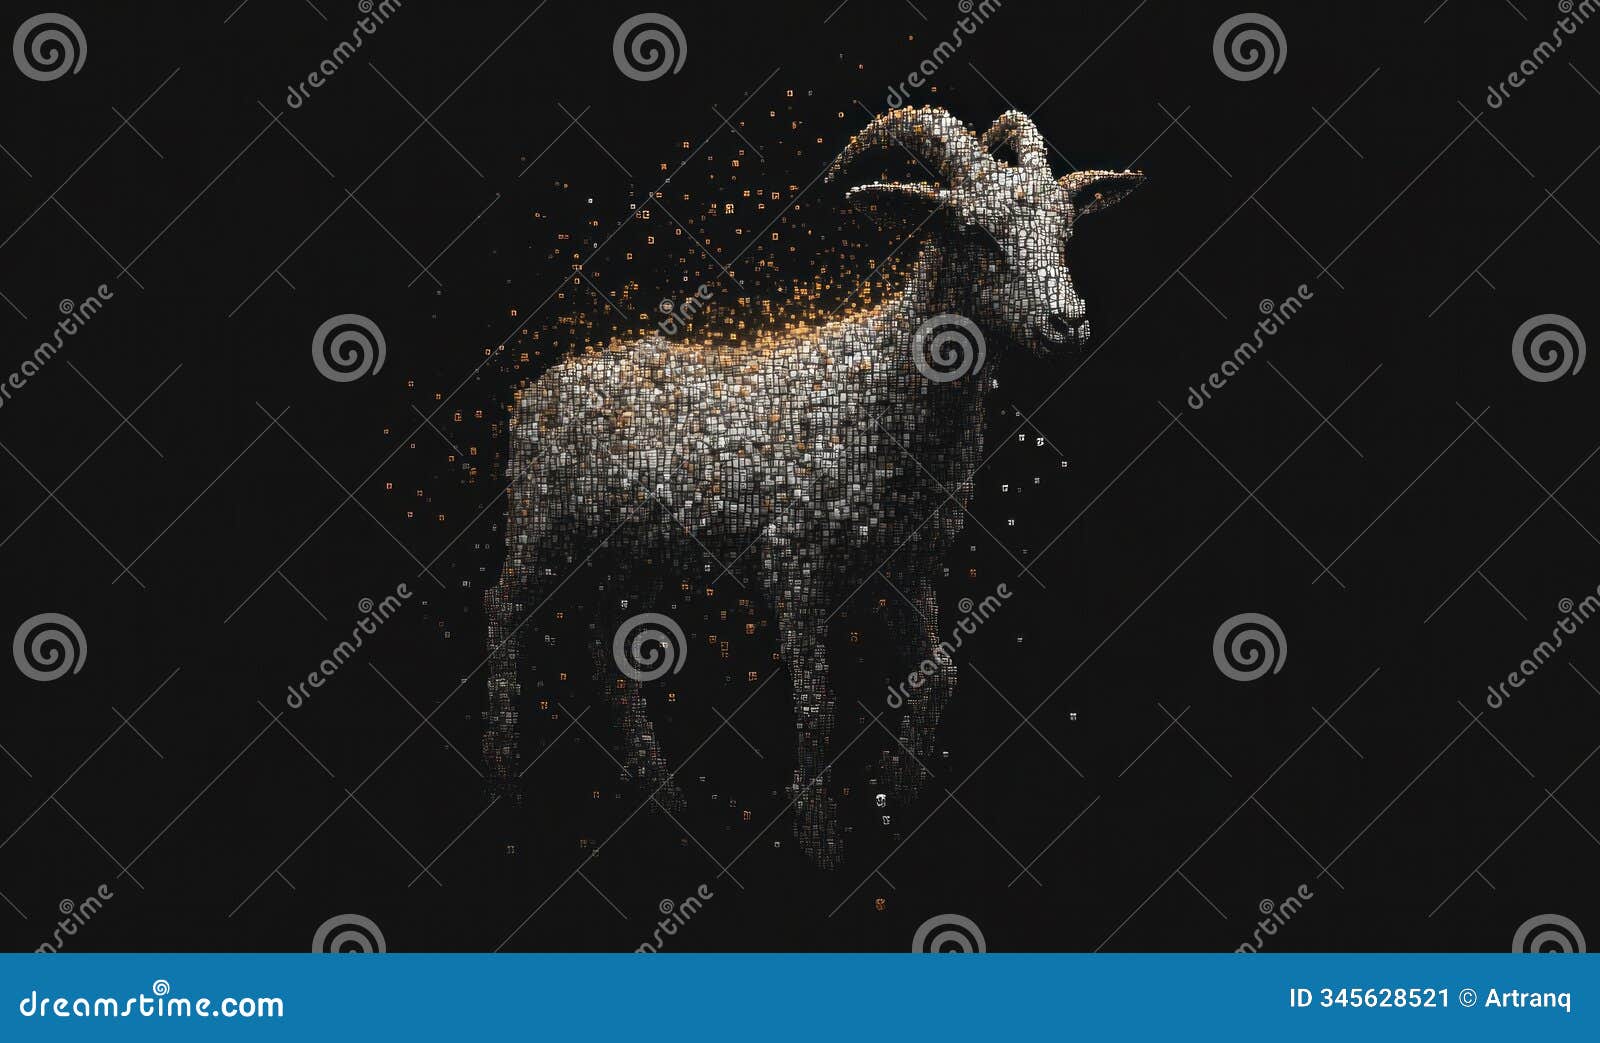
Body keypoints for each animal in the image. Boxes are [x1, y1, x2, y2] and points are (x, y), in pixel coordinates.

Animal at [484, 107, 1142, 867]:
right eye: (975, 232)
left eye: (1066, 231)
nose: (1068, 323)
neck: (883, 383)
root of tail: (537, 387)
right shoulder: (796, 563)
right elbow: (818, 703)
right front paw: (820, 833)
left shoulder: (908, 567)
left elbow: (938, 676)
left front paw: (898, 786)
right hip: (541, 521)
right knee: (505, 612)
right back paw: (504, 779)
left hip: (637, 553)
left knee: (605, 645)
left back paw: (662, 793)